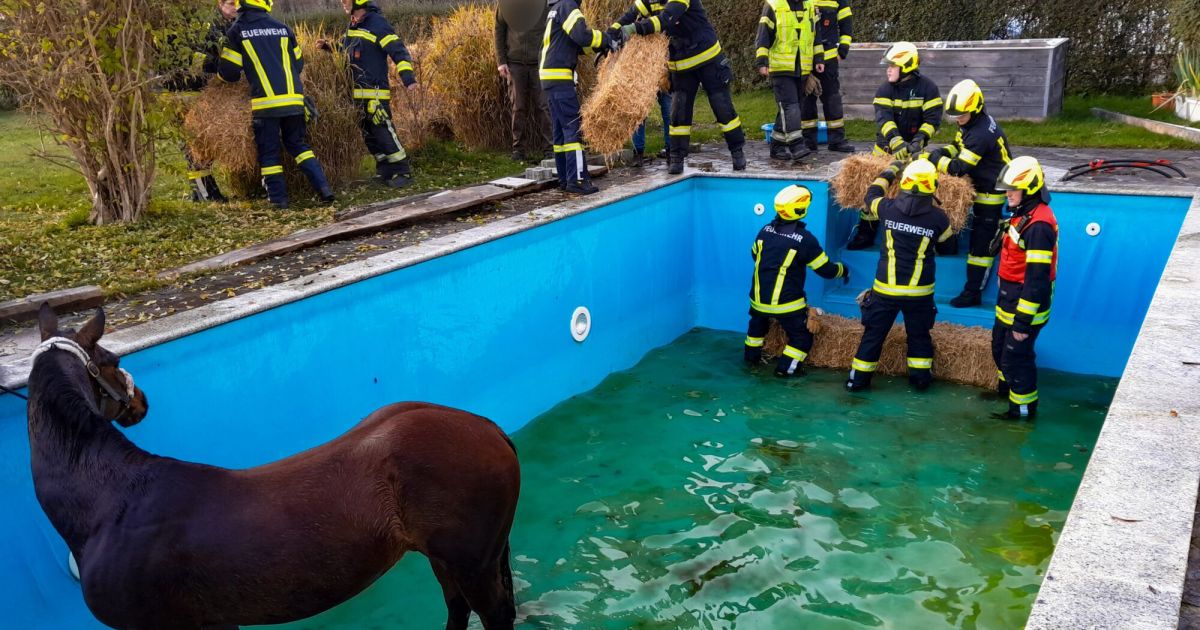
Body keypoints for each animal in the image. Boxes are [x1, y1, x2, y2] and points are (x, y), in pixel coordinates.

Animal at [26, 304, 521, 630]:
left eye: (114, 359)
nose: (141, 402)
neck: (110, 505)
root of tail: (486, 426)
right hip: (446, 558)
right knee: (458, 609)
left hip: (472, 562)